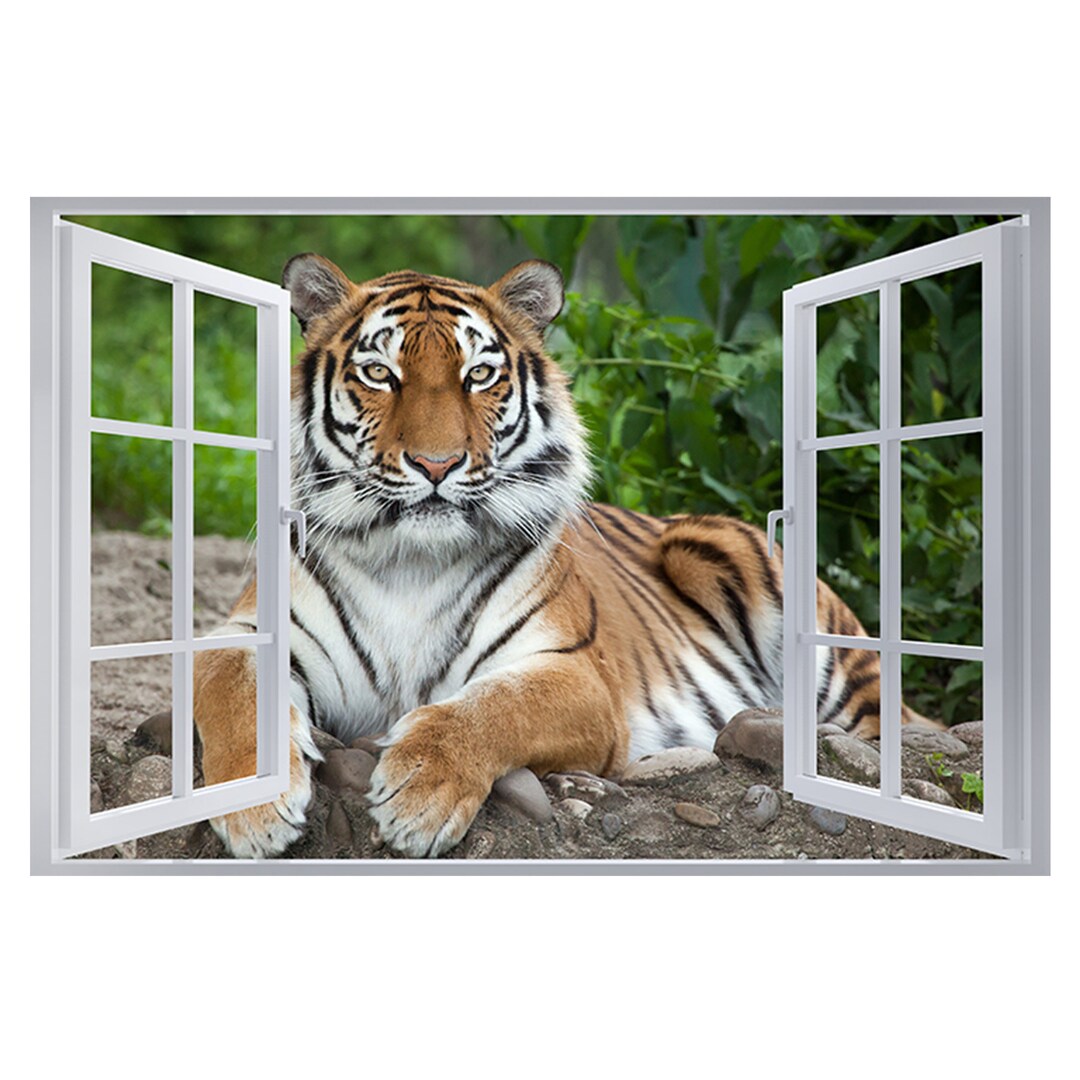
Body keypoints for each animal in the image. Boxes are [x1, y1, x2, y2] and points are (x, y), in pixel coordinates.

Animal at [193, 254, 923, 859]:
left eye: (478, 375)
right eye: (380, 373)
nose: (436, 464)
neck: (410, 563)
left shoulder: (576, 674)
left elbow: (492, 707)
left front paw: (419, 793)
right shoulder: (246, 632)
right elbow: (233, 690)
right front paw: (254, 808)